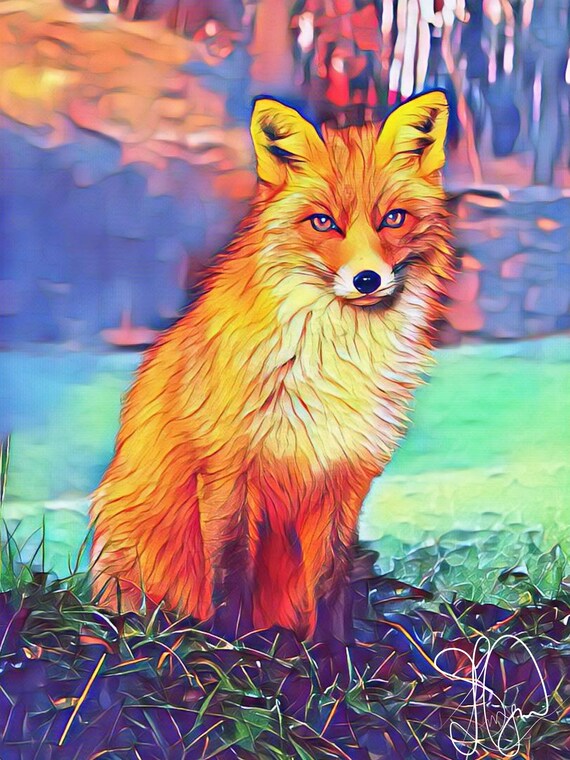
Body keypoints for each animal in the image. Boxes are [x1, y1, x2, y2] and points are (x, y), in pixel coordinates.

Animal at [90, 90, 455, 639]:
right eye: (323, 221)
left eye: (394, 218)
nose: (367, 279)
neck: (334, 363)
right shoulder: (228, 471)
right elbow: (229, 569)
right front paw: (232, 648)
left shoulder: (343, 477)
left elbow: (329, 580)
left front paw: (334, 652)